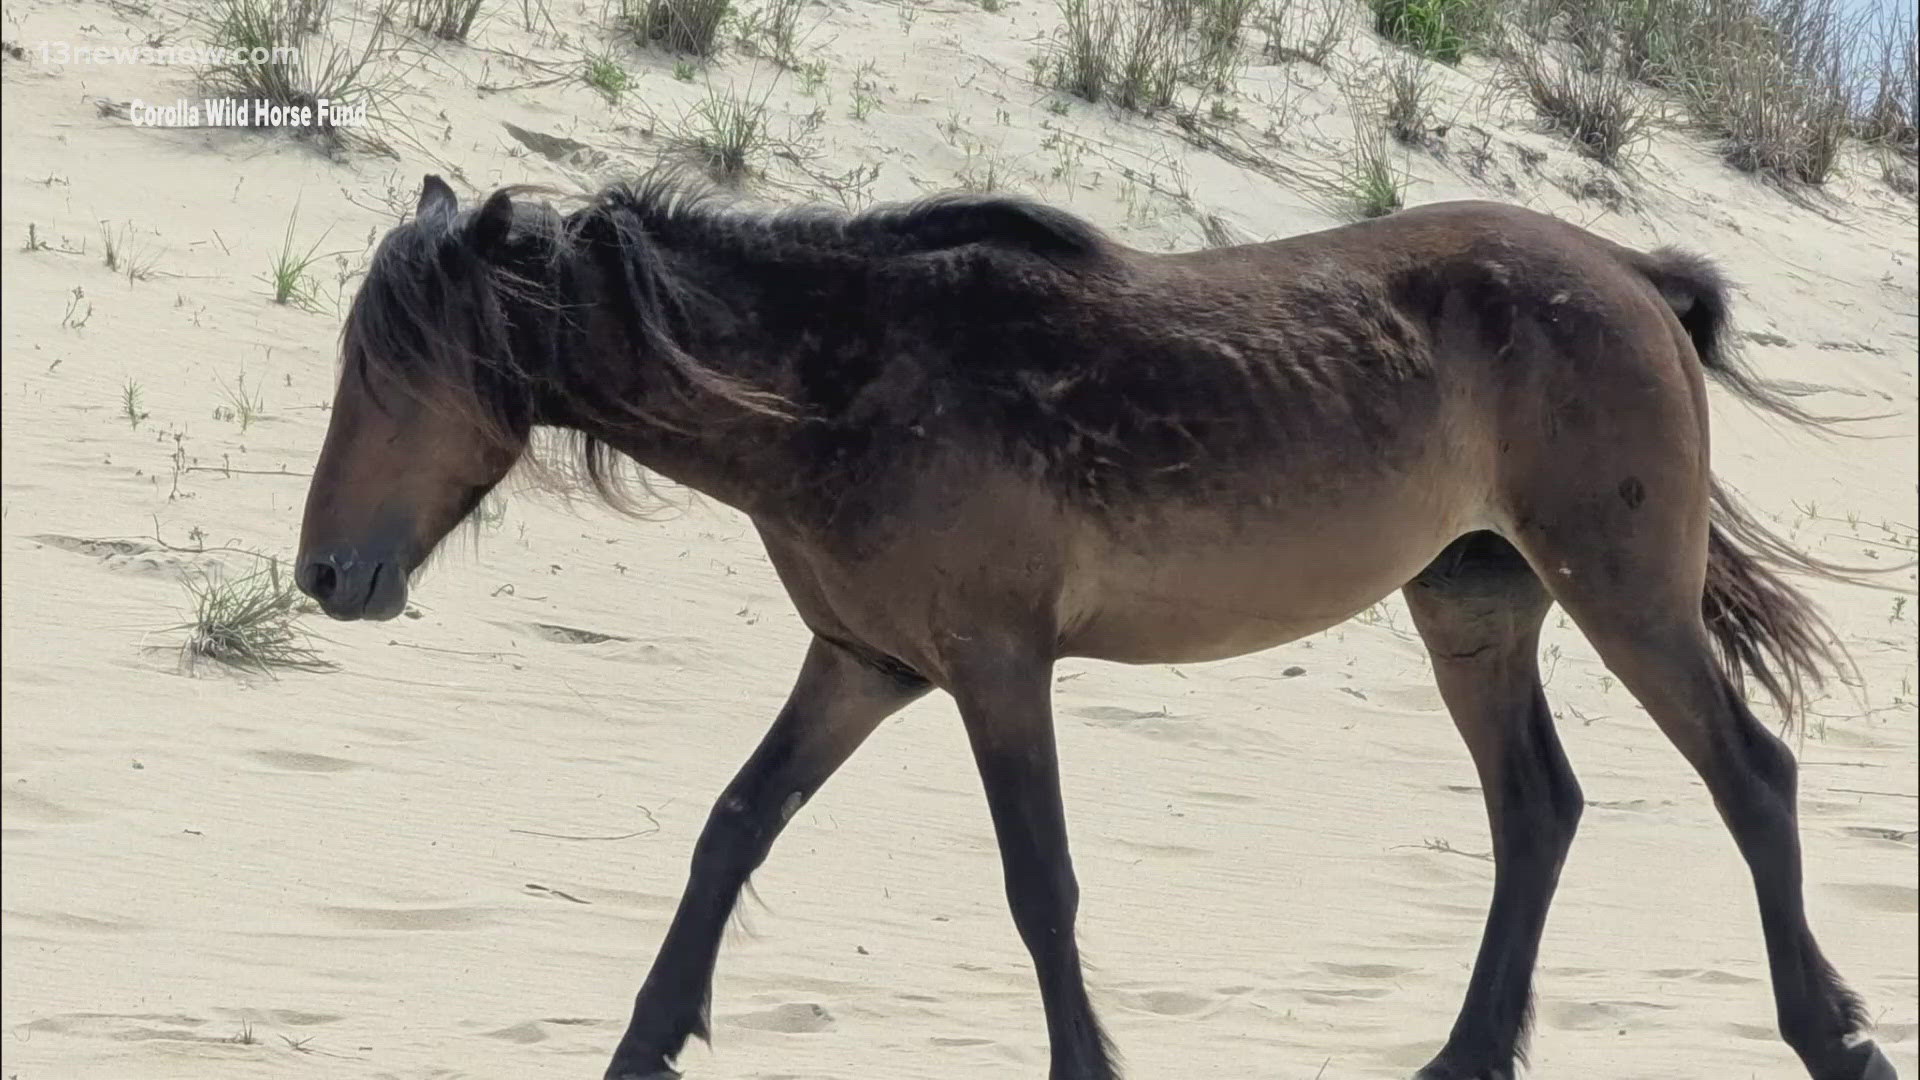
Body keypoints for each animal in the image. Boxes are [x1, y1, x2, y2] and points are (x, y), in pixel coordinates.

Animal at [294, 173, 1896, 1080]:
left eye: (399, 364)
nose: (325, 576)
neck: (842, 381)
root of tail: (1637, 277)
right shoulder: (864, 666)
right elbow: (732, 830)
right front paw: (644, 1043)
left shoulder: (997, 672)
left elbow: (1039, 888)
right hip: (1476, 608)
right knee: (1537, 813)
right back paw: (1461, 1058)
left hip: (1626, 593)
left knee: (1751, 778)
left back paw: (1835, 1038)